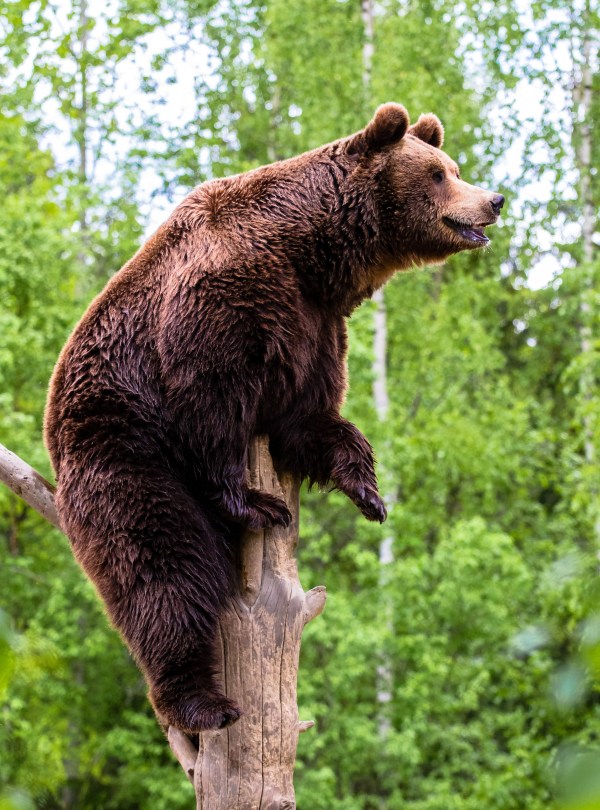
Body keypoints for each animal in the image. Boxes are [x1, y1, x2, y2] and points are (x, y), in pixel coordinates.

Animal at [44, 103, 504, 733]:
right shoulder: (223, 292)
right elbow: (209, 397)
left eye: (454, 168)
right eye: (438, 174)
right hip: (121, 450)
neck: (308, 252)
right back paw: (202, 702)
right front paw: (257, 501)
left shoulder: (315, 324)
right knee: (165, 568)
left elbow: (307, 419)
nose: (494, 199)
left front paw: (368, 492)